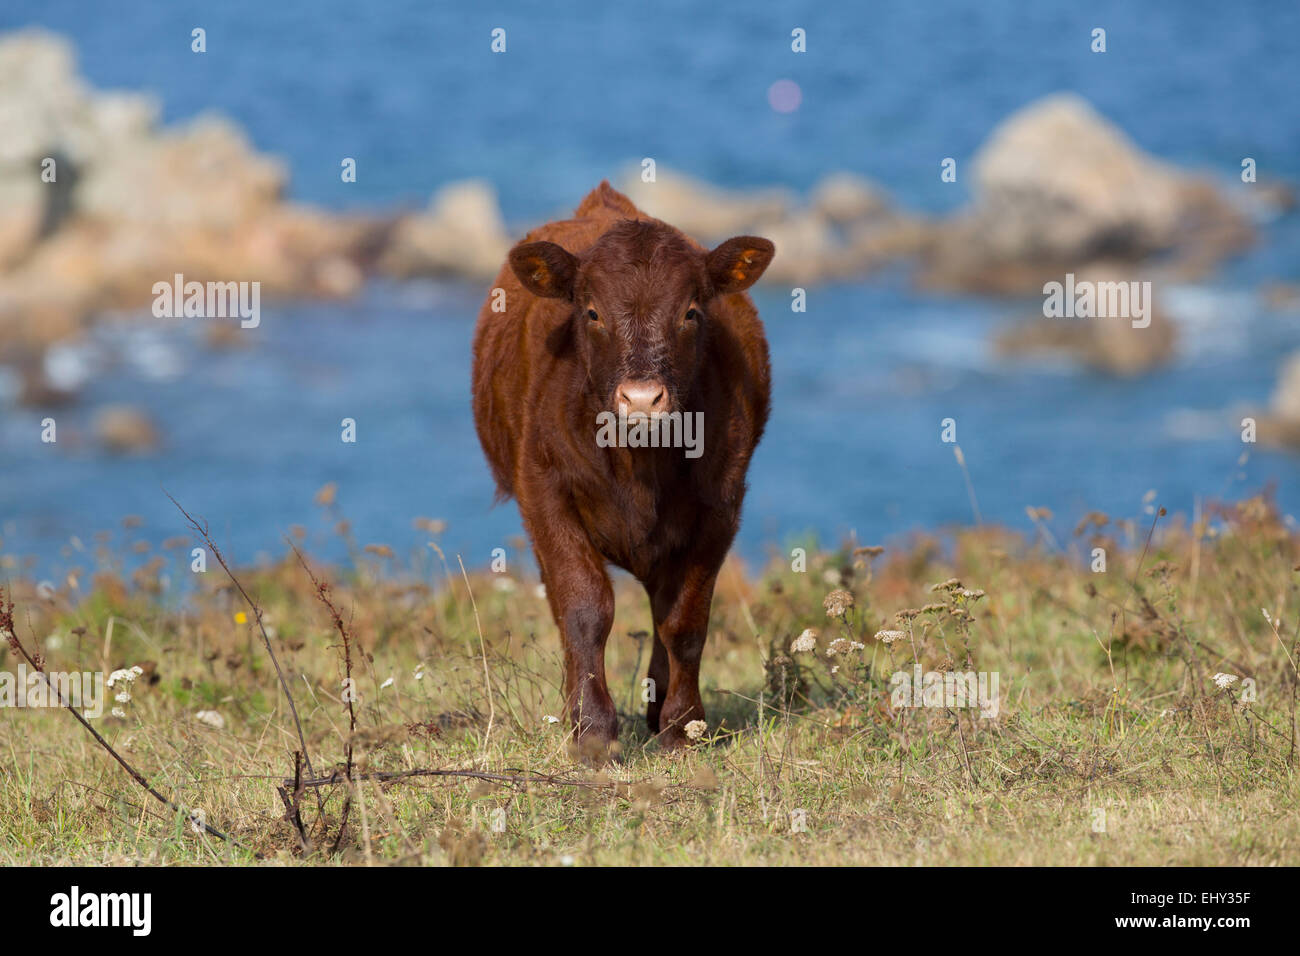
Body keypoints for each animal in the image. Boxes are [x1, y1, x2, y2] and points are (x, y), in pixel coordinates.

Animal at [471, 181, 774, 756]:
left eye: (691, 311)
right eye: (591, 312)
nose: (641, 400)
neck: (641, 464)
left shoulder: (720, 506)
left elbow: (684, 620)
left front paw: (683, 725)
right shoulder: (544, 492)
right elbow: (584, 609)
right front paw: (592, 731)